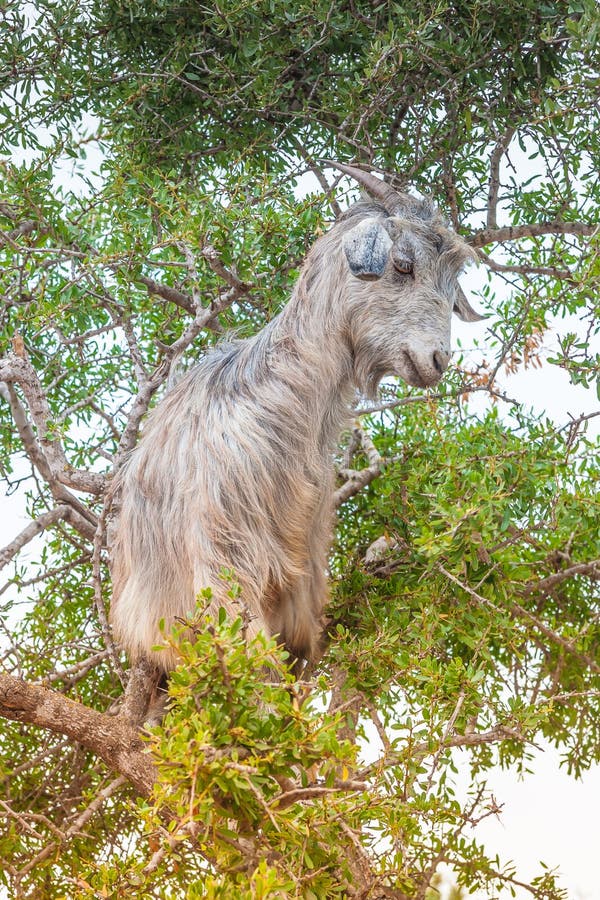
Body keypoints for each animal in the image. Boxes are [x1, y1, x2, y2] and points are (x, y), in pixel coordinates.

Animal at [110, 163, 483, 674]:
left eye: (451, 287)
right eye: (403, 265)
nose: (437, 360)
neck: (282, 397)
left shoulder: (303, 553)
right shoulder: (227, 547)